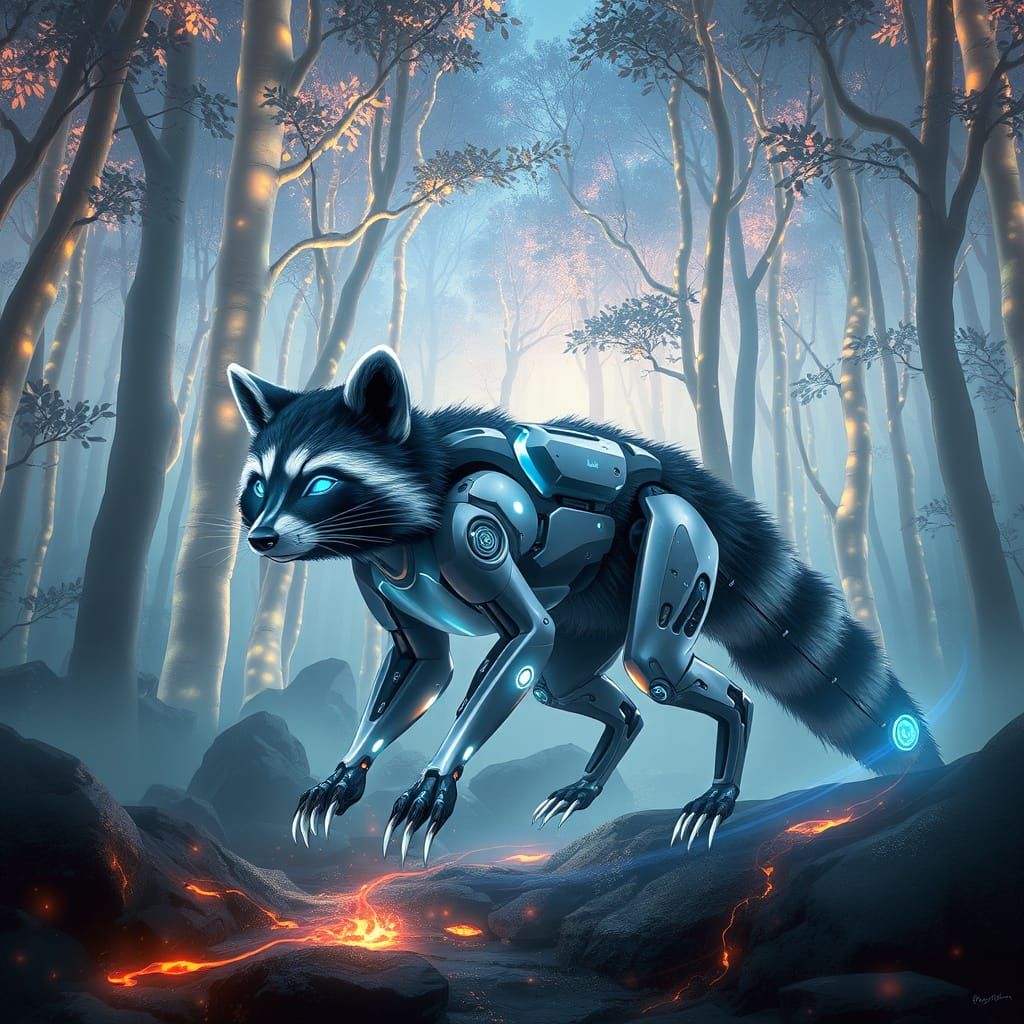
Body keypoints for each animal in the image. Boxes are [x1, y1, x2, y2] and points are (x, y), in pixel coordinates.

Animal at [228, 345, 940, 866]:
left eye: (320, 482)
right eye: (259, 486)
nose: (260, 538)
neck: (399, 530)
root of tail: (669, 472)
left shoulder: (473, 523)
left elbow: (523, 635)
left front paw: (439, 775)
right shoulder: (373, 573)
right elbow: (424, 665)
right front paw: (349, 769)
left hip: (670, 534)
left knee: (654, 666)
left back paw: (727, 747)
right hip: (595, 604)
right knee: (569, 684)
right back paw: (607, 752)